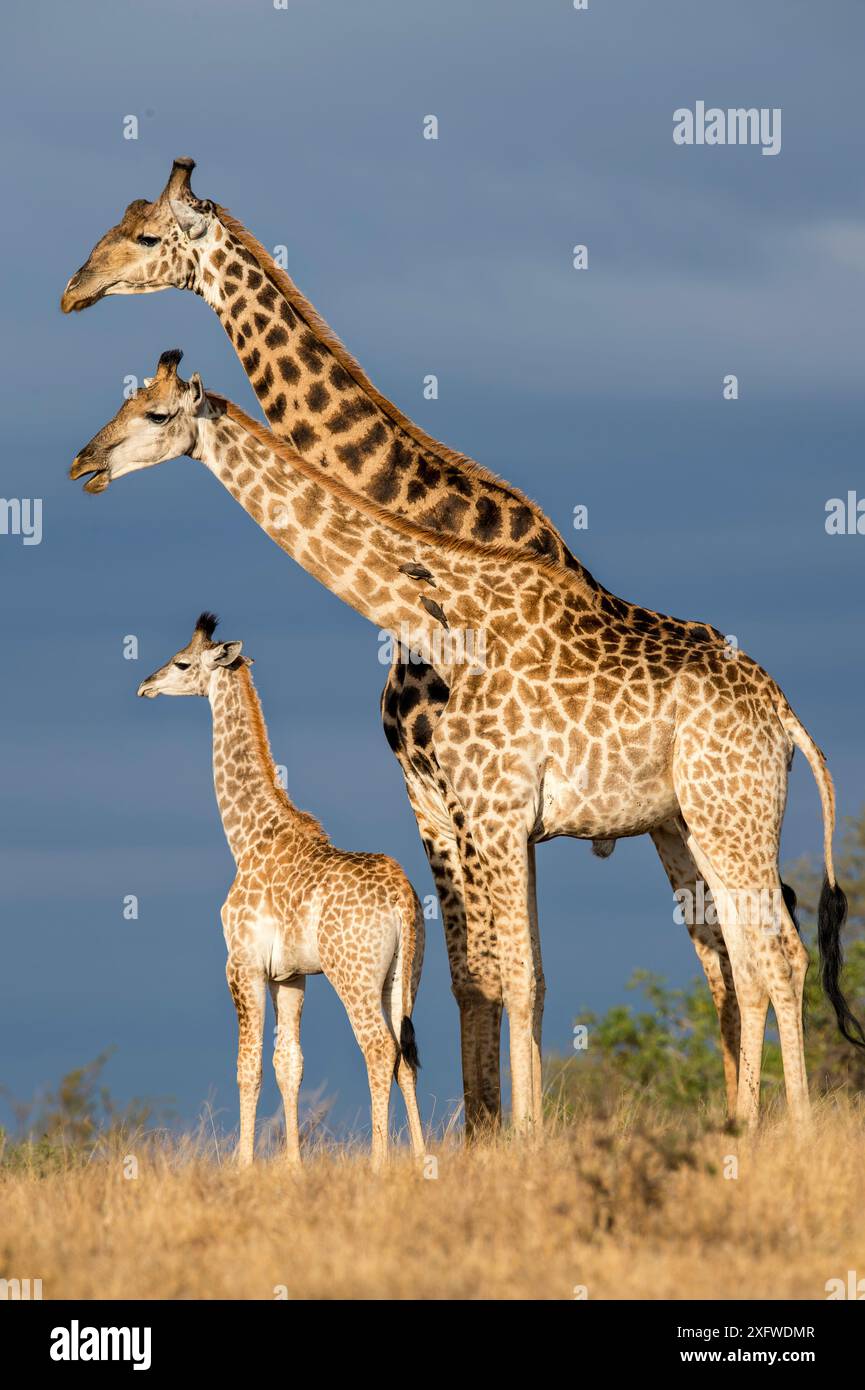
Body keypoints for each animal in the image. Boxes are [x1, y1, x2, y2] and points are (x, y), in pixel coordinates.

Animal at [137, 611, 425, 1169]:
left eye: (181, 662)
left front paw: (244, 1163)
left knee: (379, 1049)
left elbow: (248, 1066)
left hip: (353, 973)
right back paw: (425, 1159)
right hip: (403, 976)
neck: (247, 838)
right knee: (406, 1053)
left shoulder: (242, 963)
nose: (145, 686)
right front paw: (292, 1163)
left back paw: (379, 1161)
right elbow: (289, 1063)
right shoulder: (290, 975)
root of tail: (404, 901)